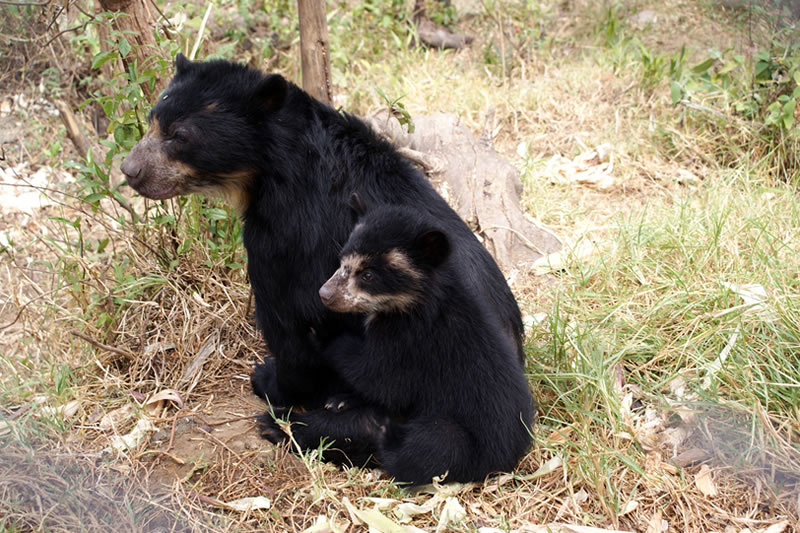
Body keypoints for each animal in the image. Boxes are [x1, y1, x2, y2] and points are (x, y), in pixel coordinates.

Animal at [120, 54, 527, 425]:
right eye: (152, 121)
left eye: (180, 136)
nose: (130, 170)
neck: (273, 164)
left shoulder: (285, 232)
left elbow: (285, 315)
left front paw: (271, 381)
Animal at [261, 202, 535, 485]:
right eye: (341, 261)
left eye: (368, 274)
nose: (324, 294)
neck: (412, 301)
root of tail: (514, 455)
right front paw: (339, 397)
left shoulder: (409, 339)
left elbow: (376, 375)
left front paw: (323, 331)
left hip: (466, 438)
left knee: (431, 448)